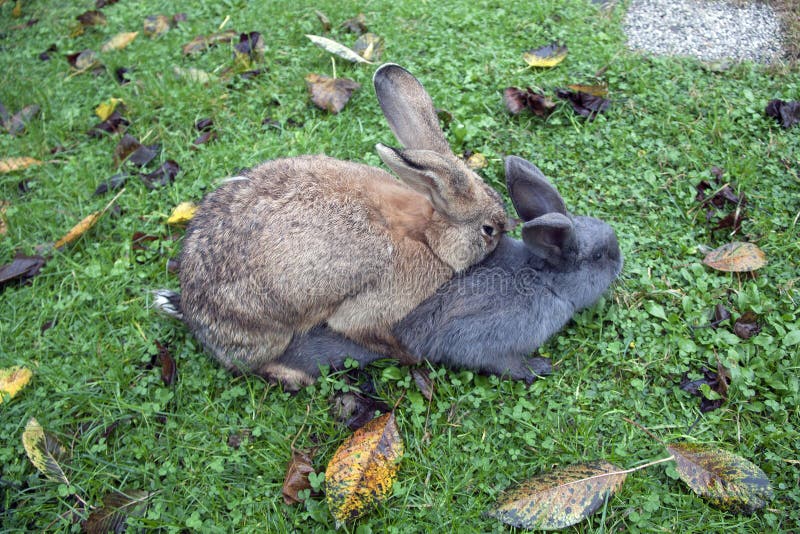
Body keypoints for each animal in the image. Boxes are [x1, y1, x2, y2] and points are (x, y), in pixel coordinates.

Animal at [157, 64, 510, 388]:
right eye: (488, 230)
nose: (503, 235)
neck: (425, 232)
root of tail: (192, 312)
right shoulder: (371, 307)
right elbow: (367, 333)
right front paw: (411, 357)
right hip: (265, 331)